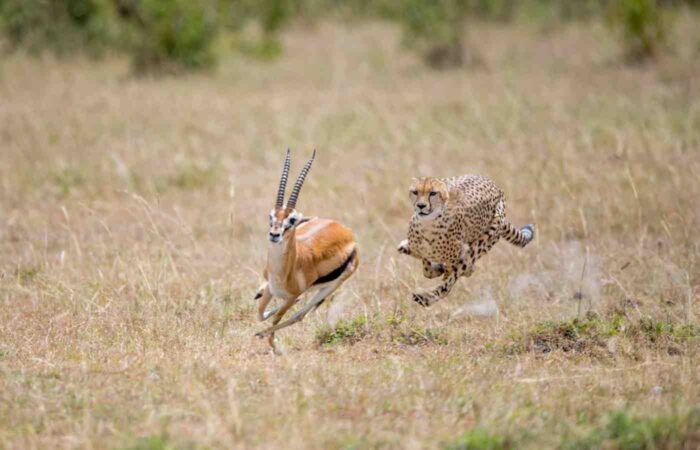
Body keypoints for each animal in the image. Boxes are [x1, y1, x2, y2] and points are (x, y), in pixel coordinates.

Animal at [397, 175, 534, 307]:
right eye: (415, 192)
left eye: (433, 193)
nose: (421, 206)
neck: (428, 224)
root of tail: (495, 186)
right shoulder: (424, 251)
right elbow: (427, 269)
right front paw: (437, 268)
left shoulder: (456, 257)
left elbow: (449, 272)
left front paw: (442, 271)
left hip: (486, 237)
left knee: (451, 282)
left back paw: (426, 298)